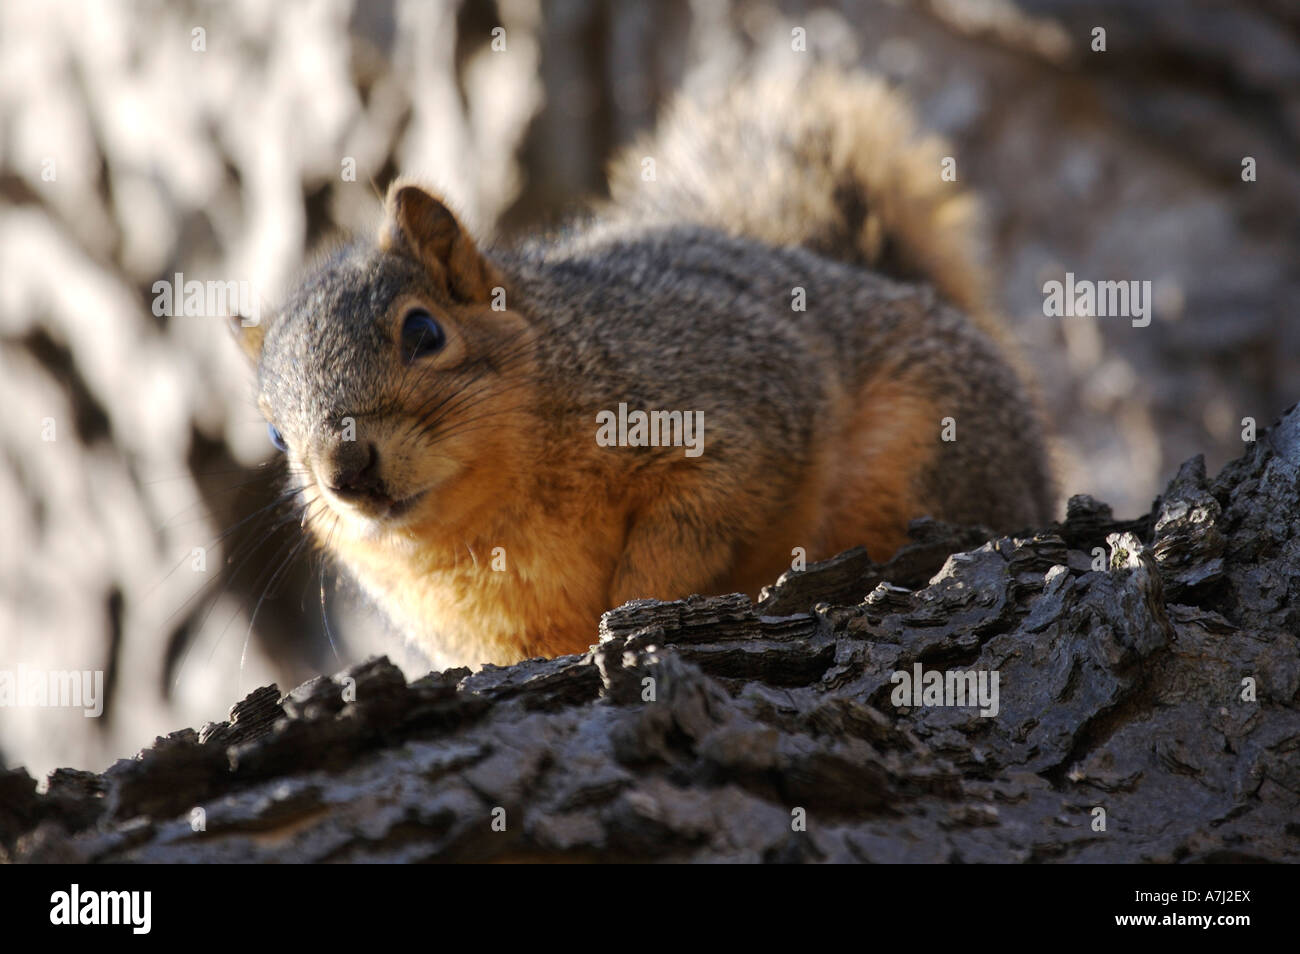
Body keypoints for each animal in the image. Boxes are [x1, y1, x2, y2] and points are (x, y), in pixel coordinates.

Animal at [231, 69, 1054, 670]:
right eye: (274, 437)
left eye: (425, 330)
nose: (347, 470)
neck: (495, 511)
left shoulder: (732, 405)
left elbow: (702, 517)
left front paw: (635, 608)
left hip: (926, 442)